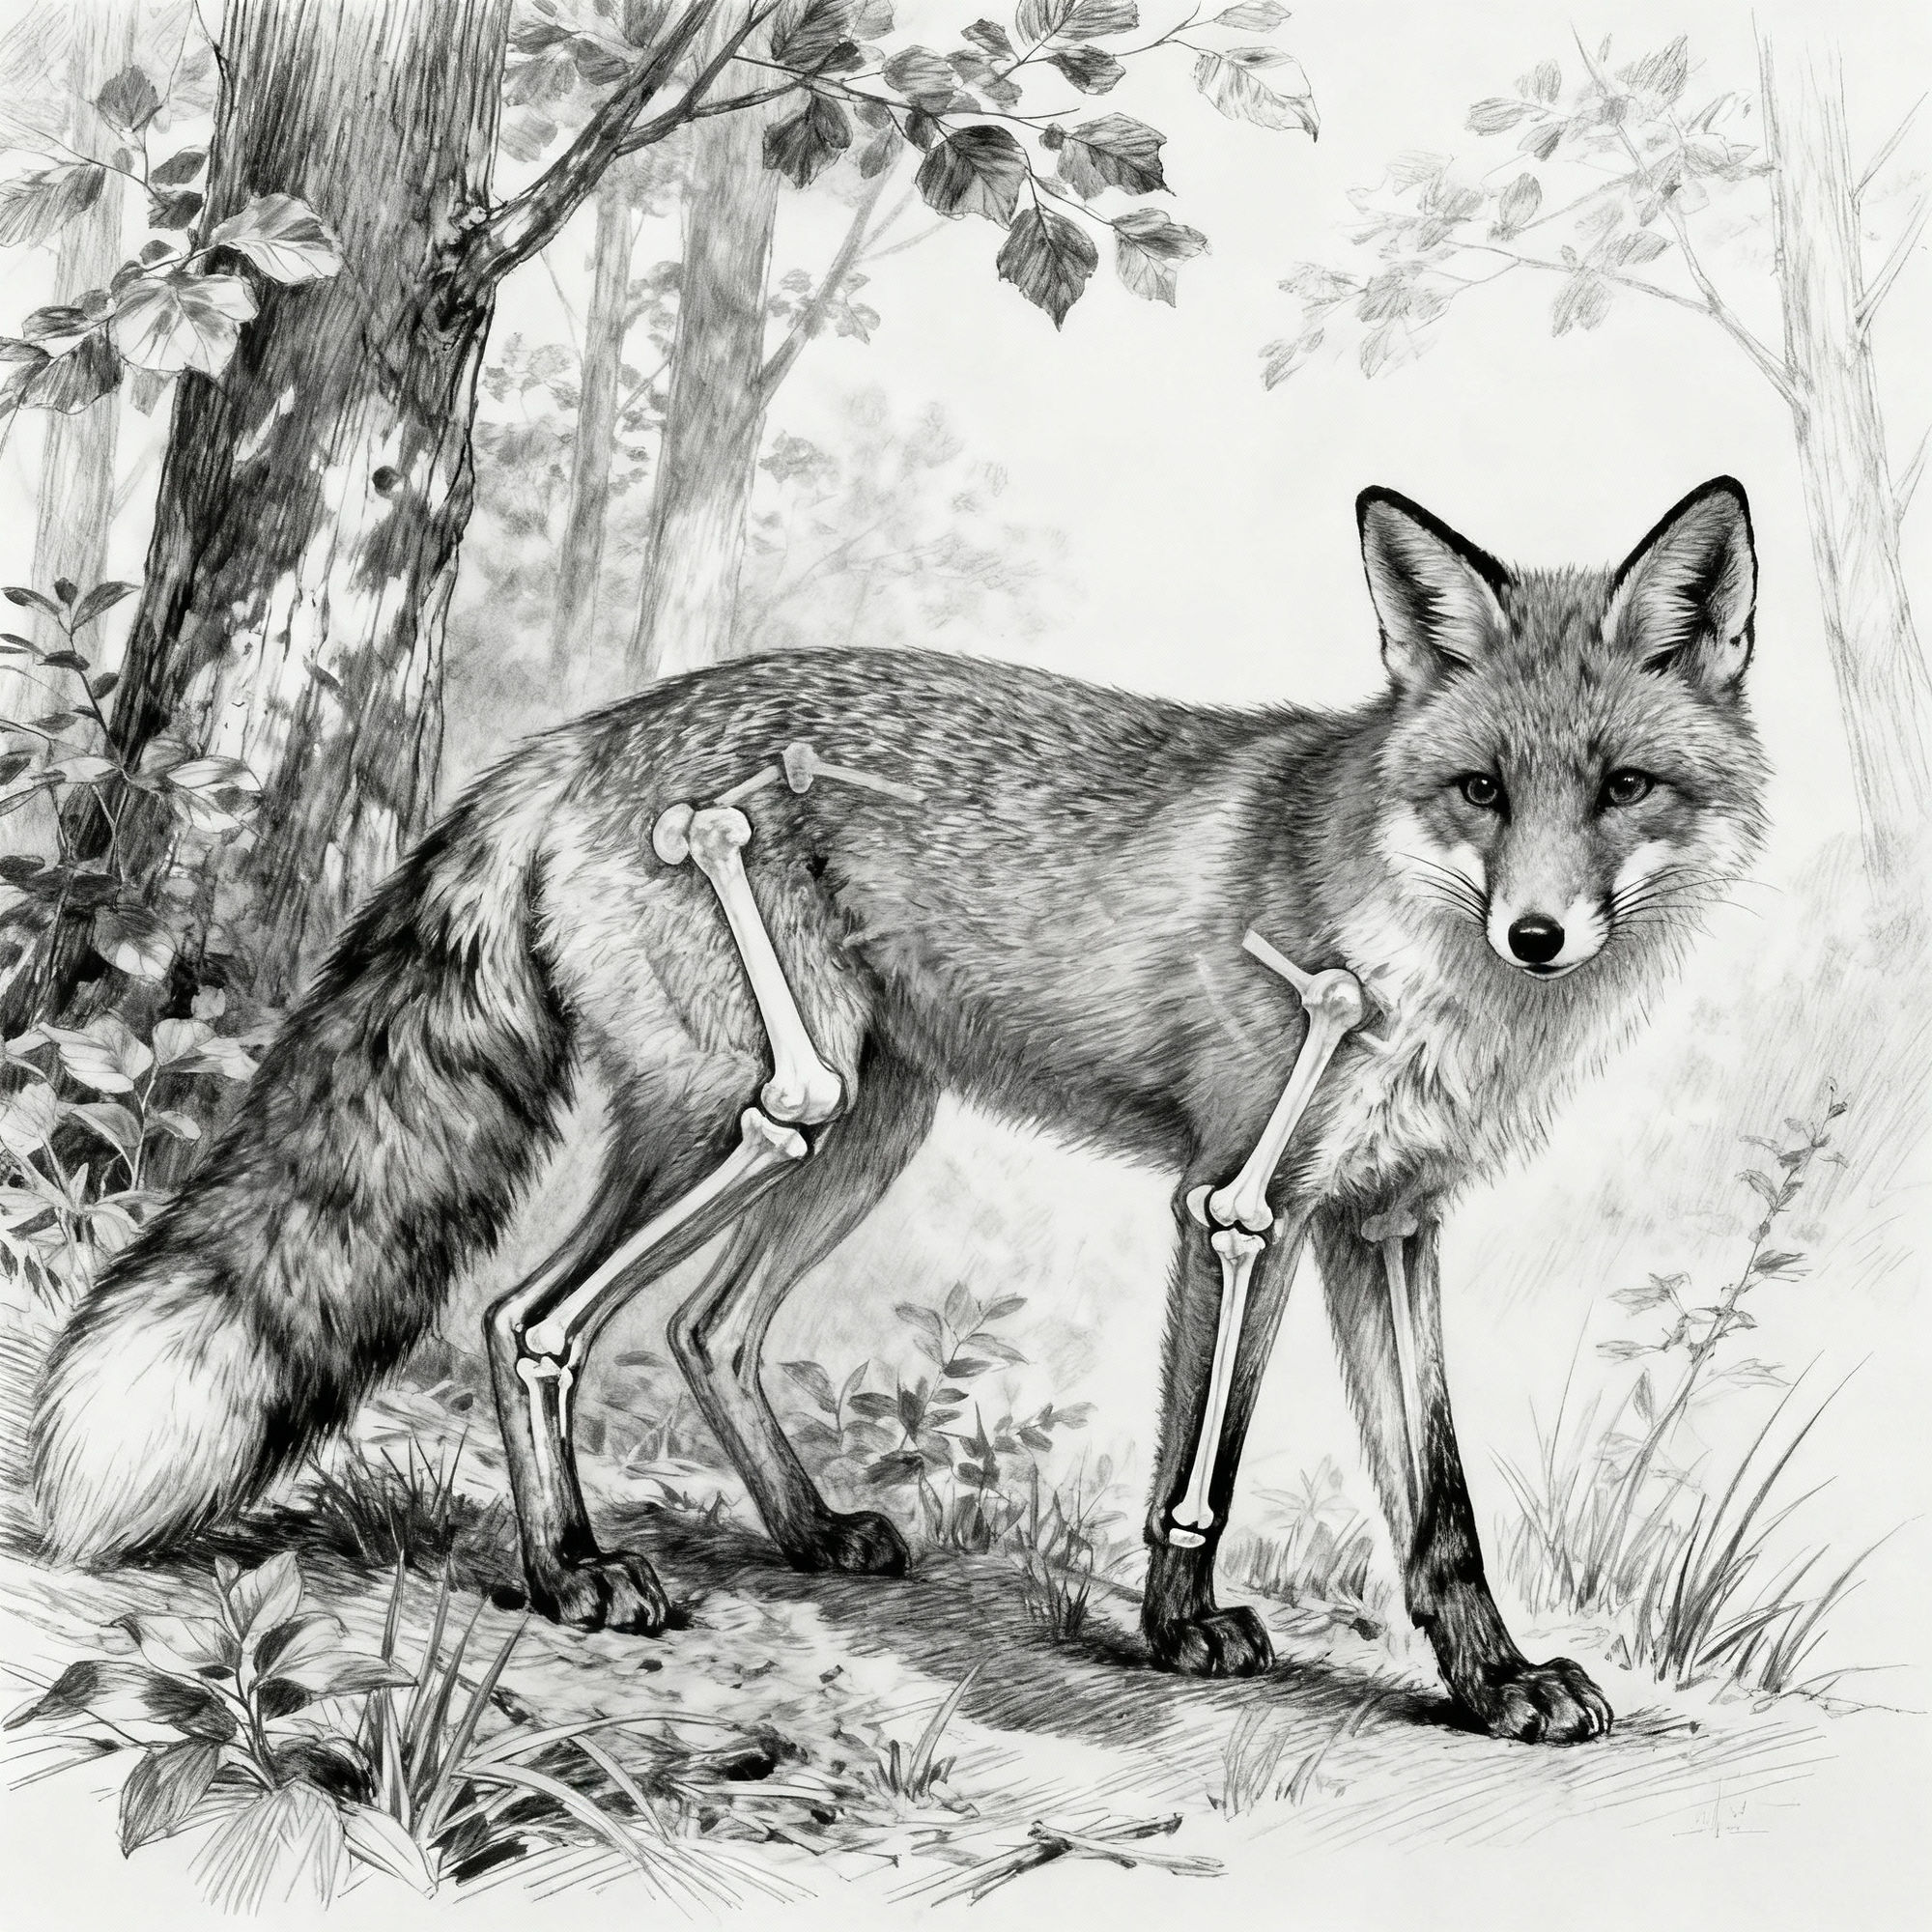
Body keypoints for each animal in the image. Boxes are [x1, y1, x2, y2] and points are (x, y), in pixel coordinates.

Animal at [31, 477, 1764, 1746]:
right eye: (1482, 792)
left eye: (1623, 789)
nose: (1538, 933)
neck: (1427, 972)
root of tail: (581, 734)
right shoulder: (1236, 1199)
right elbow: (1195, 1457)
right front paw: (1182, 1629)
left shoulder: (1389, 1225)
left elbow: (1439, 1501)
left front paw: (1494, 1681)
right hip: (750, 1109)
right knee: (529, 1316)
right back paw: (571, 1568)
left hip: (867, 1134)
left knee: (707, 1331)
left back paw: (805, 1530)